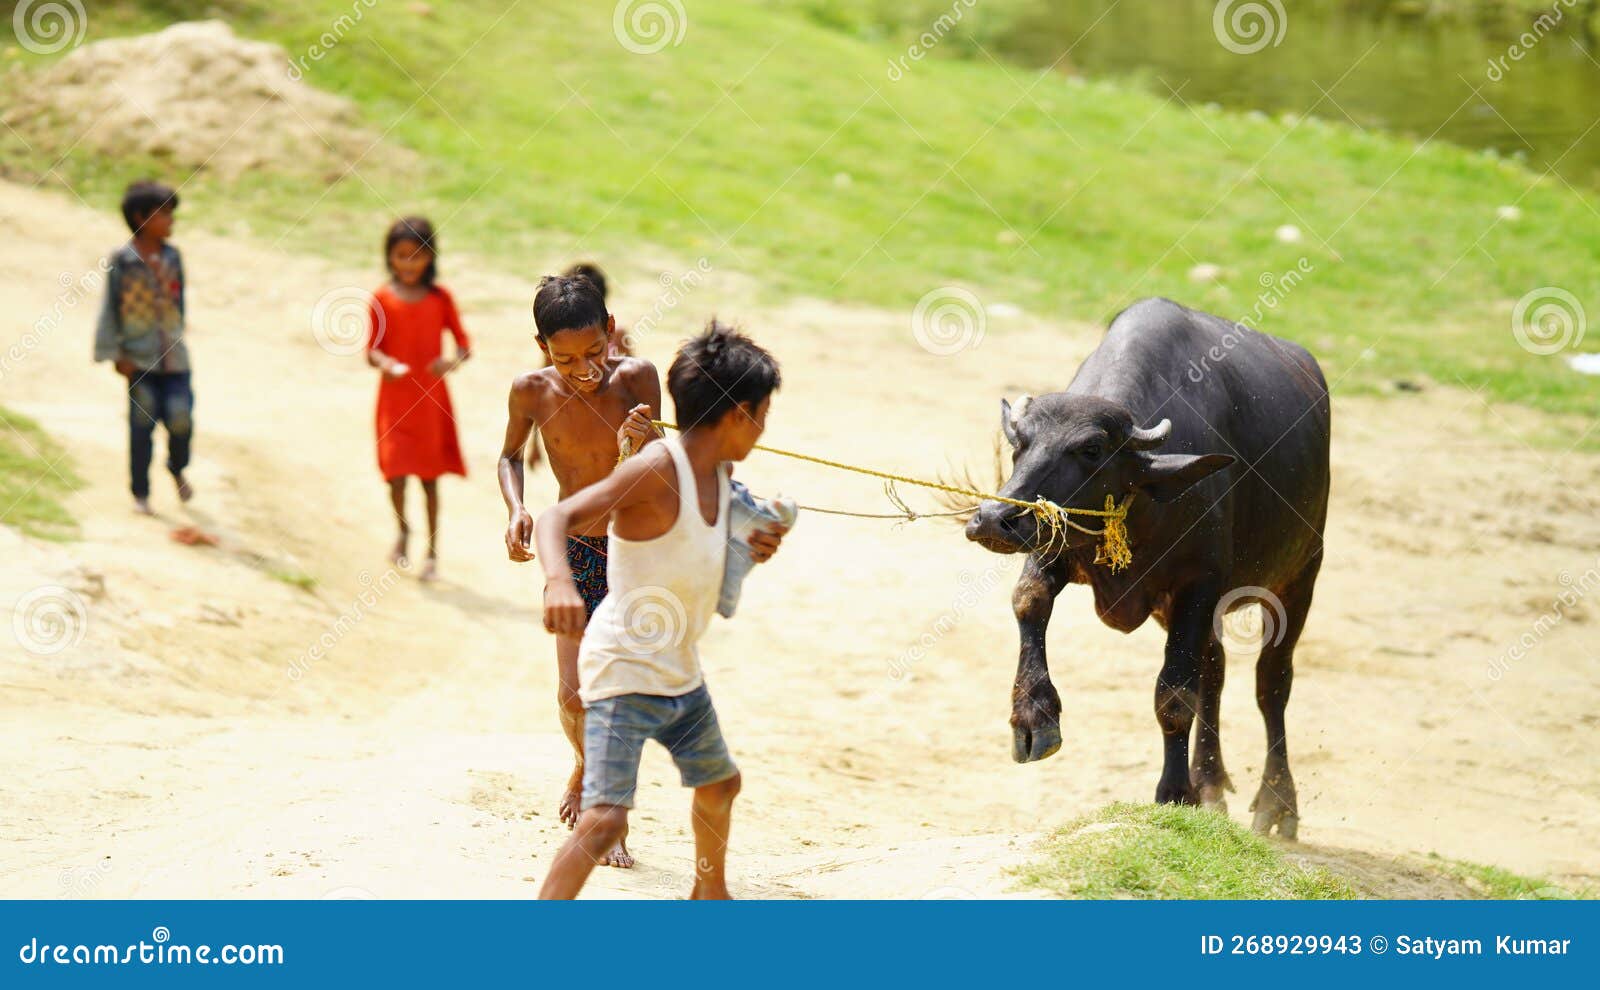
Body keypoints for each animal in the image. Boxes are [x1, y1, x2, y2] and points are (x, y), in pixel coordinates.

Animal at [964, 297, 1329, 838]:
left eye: (1091, 449)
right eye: (1019, 444)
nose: (994, 518)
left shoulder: (1200, 584)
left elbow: (1174, 696)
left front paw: (1175, 793)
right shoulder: (1056, 551)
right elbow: (1029, 600)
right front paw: (1033, 718)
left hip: (1301, 574)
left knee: (1271, 682)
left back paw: (1277, 803)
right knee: (1215, 673)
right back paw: (1211, 785)